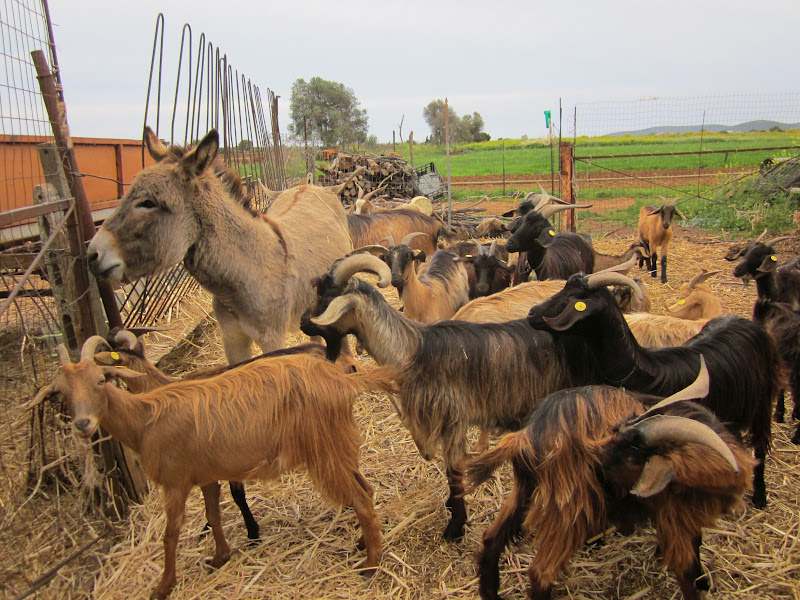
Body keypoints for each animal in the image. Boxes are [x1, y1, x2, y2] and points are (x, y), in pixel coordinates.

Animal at [28, 342, 396, 599]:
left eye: (101, 379)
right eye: (62, 392)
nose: (83, 424)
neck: (145, 418)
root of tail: (342, 378)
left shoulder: (175, 483)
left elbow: (170, 535)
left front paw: (163, 586)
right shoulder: (206, 477)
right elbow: (214, 514)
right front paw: (219, 556)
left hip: (324, 452)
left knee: (360, 499)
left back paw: (370, 565)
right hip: (337, 446)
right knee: (366, 489)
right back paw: (364, 544)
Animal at [88, 128, 355, 365]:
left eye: (148, 203)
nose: (92, 255)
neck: (245, 270)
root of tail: (310, 186)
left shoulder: (272, 338)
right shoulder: (232, 338)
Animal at [300, 254, 603, 541]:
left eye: (326, 296)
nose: (303, 323)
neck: (414, 350)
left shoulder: (453, 418)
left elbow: (453, 472)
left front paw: (455, 527)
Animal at [468, 359, 755, 600]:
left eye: (631, 456)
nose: (595, 459)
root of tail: (526, 436)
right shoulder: (674, 515)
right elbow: (685, 569)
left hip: (526, 490)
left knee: (491, 539)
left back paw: (490, 594)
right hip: (568, 508)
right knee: (541, 572)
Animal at [526, 271, 780, 508]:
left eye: (575, 297)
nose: (532, 313)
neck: (643, 371)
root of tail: (745, 321)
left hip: (763, 403)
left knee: (760, 444)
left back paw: (760, 495)